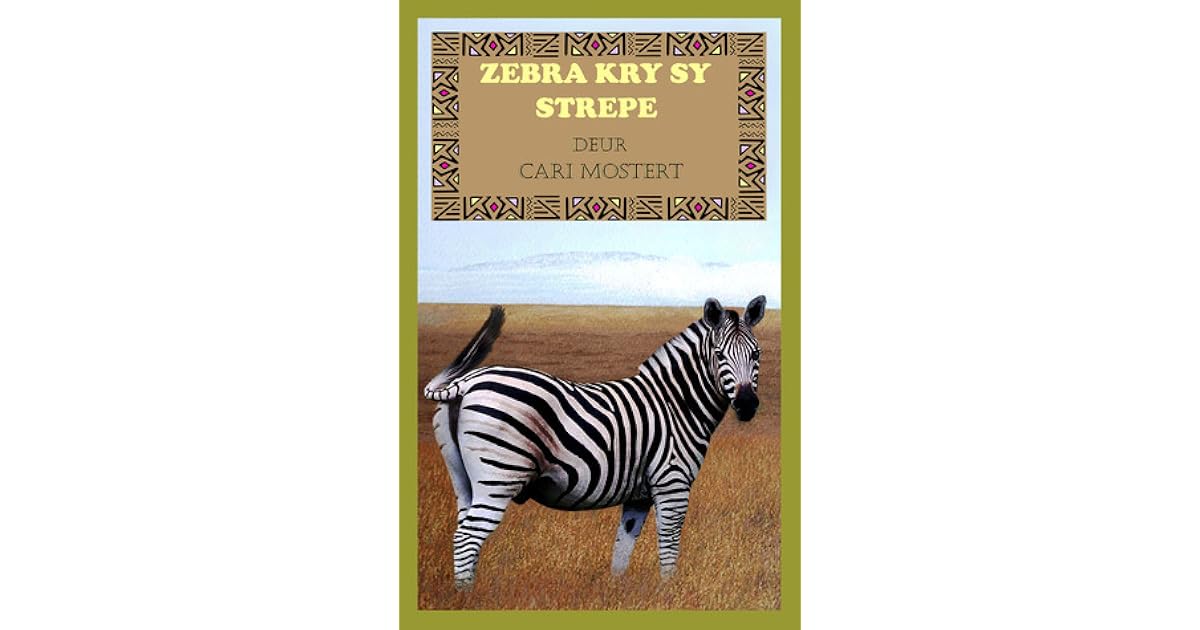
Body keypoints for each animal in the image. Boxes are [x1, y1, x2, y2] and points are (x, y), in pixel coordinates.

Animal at [423, 296, 767, 590]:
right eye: (719, 355)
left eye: (756, 354)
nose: (747, 405)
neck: (677, 404)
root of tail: (468, 381)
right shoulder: (673, 483)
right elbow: (668, 545)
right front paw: (669, 592)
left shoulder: (639, 494)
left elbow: (622, 549)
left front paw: (616, 595)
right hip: (499, 474)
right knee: (467, 538)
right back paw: (468, 598)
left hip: (464, 480)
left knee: (463, 533)